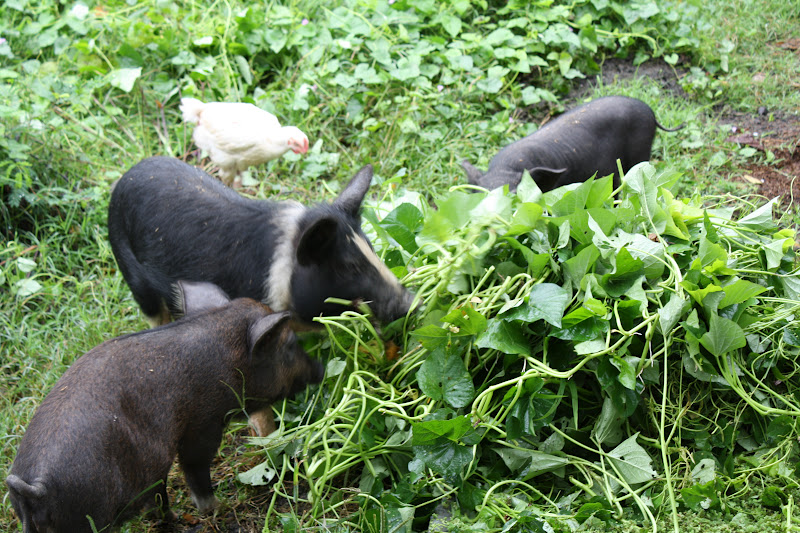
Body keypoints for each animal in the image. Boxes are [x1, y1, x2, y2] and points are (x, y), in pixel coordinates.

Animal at [5, 281, 324, 533]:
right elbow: (195, 469)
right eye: (290, 345)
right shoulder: (202, 425)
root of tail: (34, 487)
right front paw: (215, 508)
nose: (320, 369)